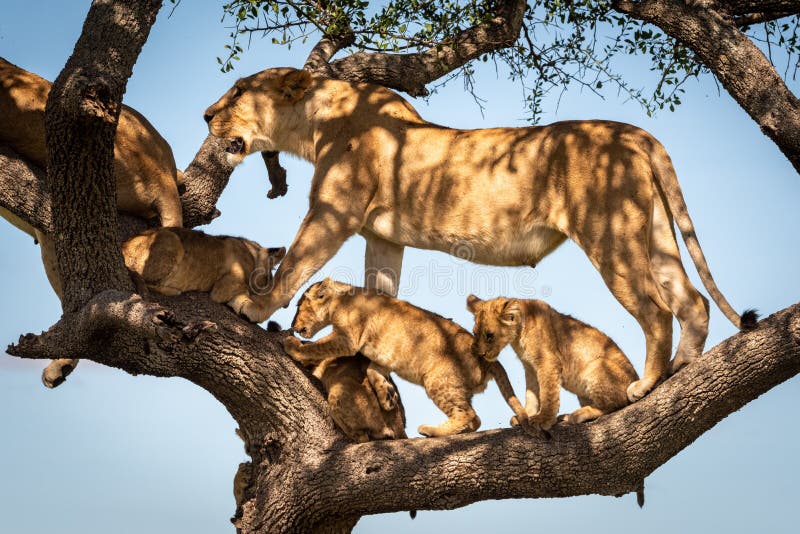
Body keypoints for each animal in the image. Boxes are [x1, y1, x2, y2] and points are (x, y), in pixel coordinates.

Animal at [121, 227, 285, 318]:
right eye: (269, 278)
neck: (252, 254)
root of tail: (123, 246)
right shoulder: (224, 287)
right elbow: (244, 287)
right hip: (170, 237)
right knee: (142, 277)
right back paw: (173, 290)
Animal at [204, 67, 756, 402]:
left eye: (238, 91)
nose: (206, 115)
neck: (313, 123)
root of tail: (636, 132)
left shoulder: (333, 213)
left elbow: (294, 264)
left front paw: (252, 305)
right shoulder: (383, 237)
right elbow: (381, 297)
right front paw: (377, 374)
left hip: (609, 234)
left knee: (657, 309)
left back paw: (648, 384)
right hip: (656, 234)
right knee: (691, 300)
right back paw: (682, 372)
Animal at [282, 279, 528, 437]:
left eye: (298, 306)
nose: (292, 325)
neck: (341, 300)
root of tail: (486, 358)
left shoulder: (347, 339)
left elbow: (319, 347)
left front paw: (293, 346)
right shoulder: (381, 357)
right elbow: (372, 370)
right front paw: (387, 397)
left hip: (438, 381)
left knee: (468, 414)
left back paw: (432, 431)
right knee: (475, 419)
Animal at [467, 295, 639, 431]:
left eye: (489, 335)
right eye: (475, 333)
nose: (479, 353)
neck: (518, 337)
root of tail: (636, 379)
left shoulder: (548, 362)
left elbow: (548, 393)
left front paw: (543, 419)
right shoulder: (529, 366)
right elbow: (531, 393)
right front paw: (526, 415)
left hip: (597, 365)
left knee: (616, 404)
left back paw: (578, 414)